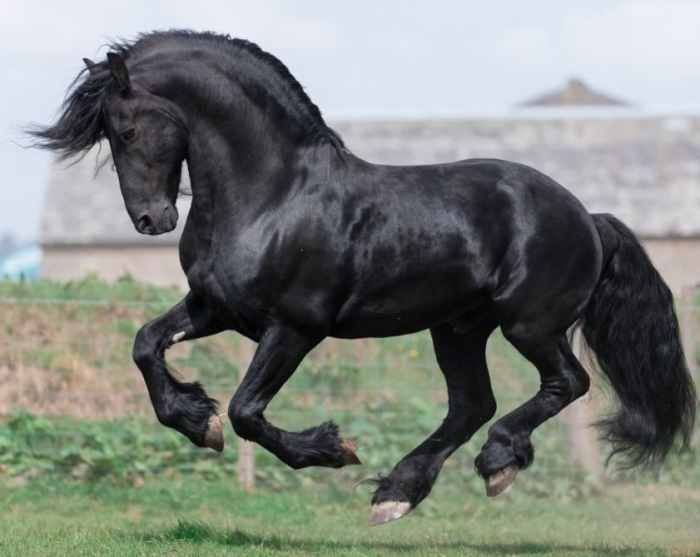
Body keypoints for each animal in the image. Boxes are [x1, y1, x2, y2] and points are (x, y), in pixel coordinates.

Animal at [32, 30, 696, 526]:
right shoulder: (214, 308)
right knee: (471, 404)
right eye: (110, 134)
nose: (151, 220)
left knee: (565, 383)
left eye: (127, 129)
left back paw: (497, 463)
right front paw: (198, 422)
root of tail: (588, 216)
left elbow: (248, 410)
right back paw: (396, 495)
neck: (273, 194)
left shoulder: (295, 326)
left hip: (528, 325)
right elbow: (146, 345)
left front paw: (331, 448)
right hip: (457, 329)